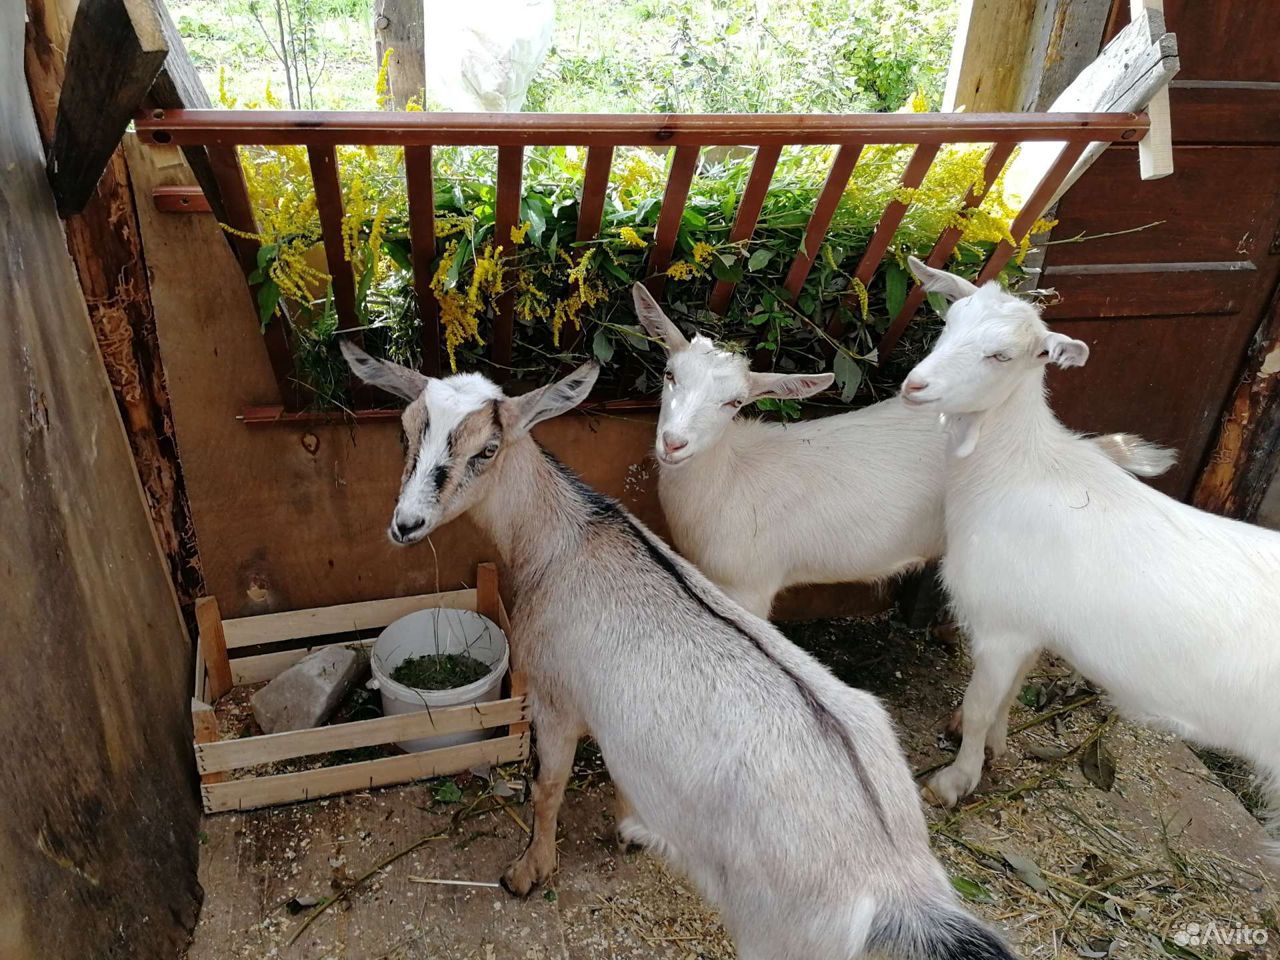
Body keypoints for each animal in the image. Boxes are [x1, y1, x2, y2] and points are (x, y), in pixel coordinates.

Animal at [341, 340, 1021, 960]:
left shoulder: (556, 698)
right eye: (406, 432)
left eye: (487, 449)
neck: (564, 542)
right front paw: (632, 828)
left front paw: (528, 871)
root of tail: (895, 878)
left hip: (775, 937)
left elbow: (547, 788)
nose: (405, 524)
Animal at [900, 257, 1280, 821]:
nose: (915, 386)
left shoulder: (1002, 622)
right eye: (950, 323)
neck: (1020, 469)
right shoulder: (1032, 624)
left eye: (1001, 355)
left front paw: (954, 780)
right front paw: (995, 747)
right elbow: (1010, 691)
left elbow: (979, 703)